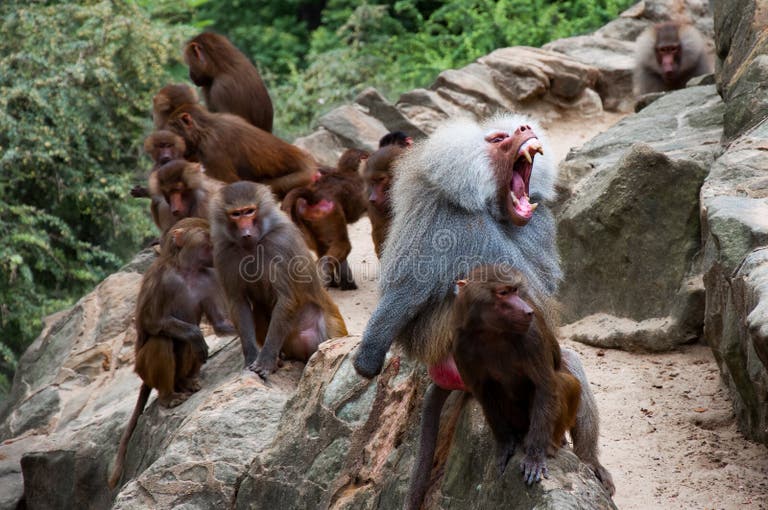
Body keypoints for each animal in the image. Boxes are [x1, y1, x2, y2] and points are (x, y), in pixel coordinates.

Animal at [108, 218, 235, 489]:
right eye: (205, 234)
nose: (217, 244)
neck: (186, 270)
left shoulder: (210, 277)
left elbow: (220, 323)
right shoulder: (159, 279)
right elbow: (150, 322)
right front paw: (195, 335)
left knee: (184, 345)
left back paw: (187, 382)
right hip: (142, 367)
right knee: (164, 340)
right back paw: (169, 396)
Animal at [210, 181, 348, 379]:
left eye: (249, 211)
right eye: (236, 214)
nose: (246, 233)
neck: (254, 245)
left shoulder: (282, 243)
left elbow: (287, 299)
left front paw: (265, 362)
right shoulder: (223, 252)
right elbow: (239, 303)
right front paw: (252, 358)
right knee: (258, 311)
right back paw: (280, 358)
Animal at [351, 114, 615, 498]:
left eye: (515, 131)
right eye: (499, 139)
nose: (524, 128)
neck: (491, 208)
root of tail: (437, 369)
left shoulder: (539, 223)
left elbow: (543, 284)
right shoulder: (456, 225)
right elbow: (407, 290)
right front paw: (368, 359)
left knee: (567, 363)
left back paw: (589, 462)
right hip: (462, 360)